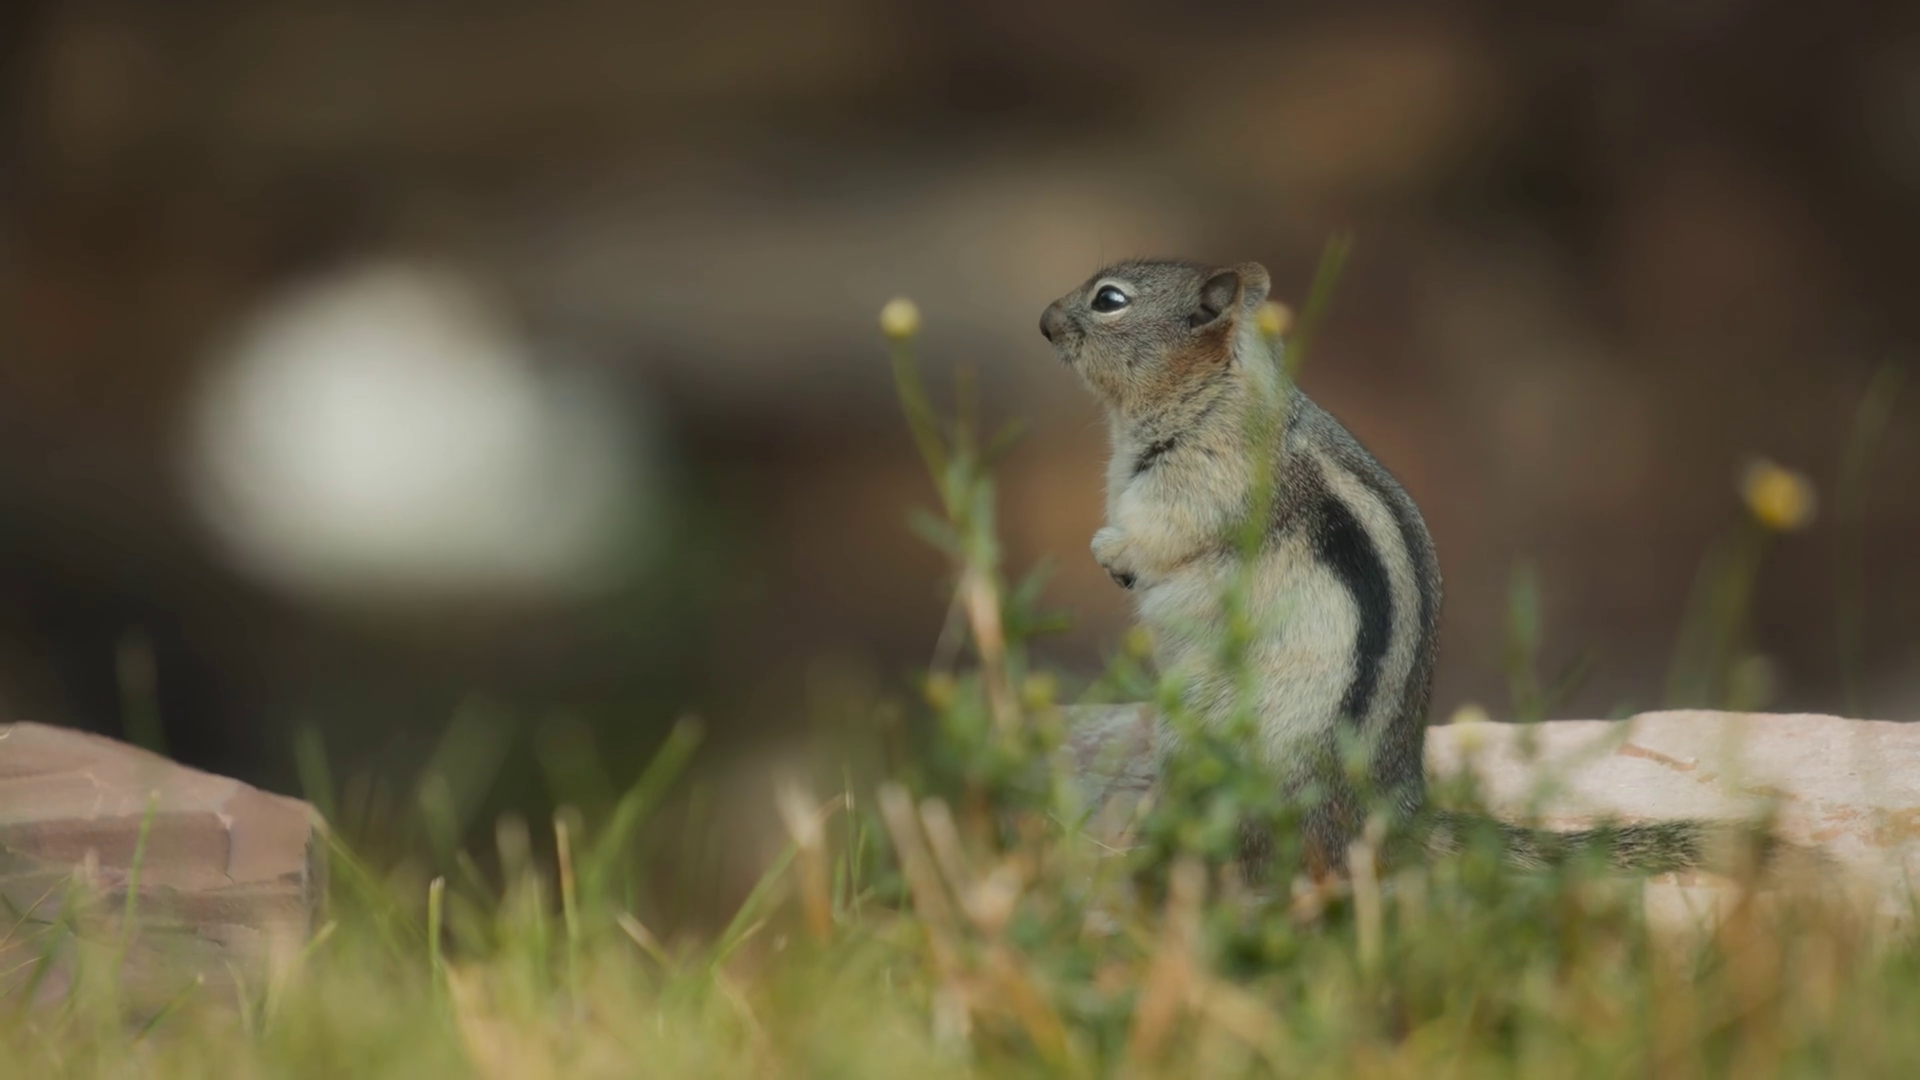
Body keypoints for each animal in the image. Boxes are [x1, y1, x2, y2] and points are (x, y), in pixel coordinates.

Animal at [1039, 258, 1807, 884]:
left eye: (1109, 300)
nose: (1044, 322)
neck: (1216, 393)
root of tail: (1389, 808)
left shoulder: (1205, 486)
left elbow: (1159, 536)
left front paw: (1109, 552)